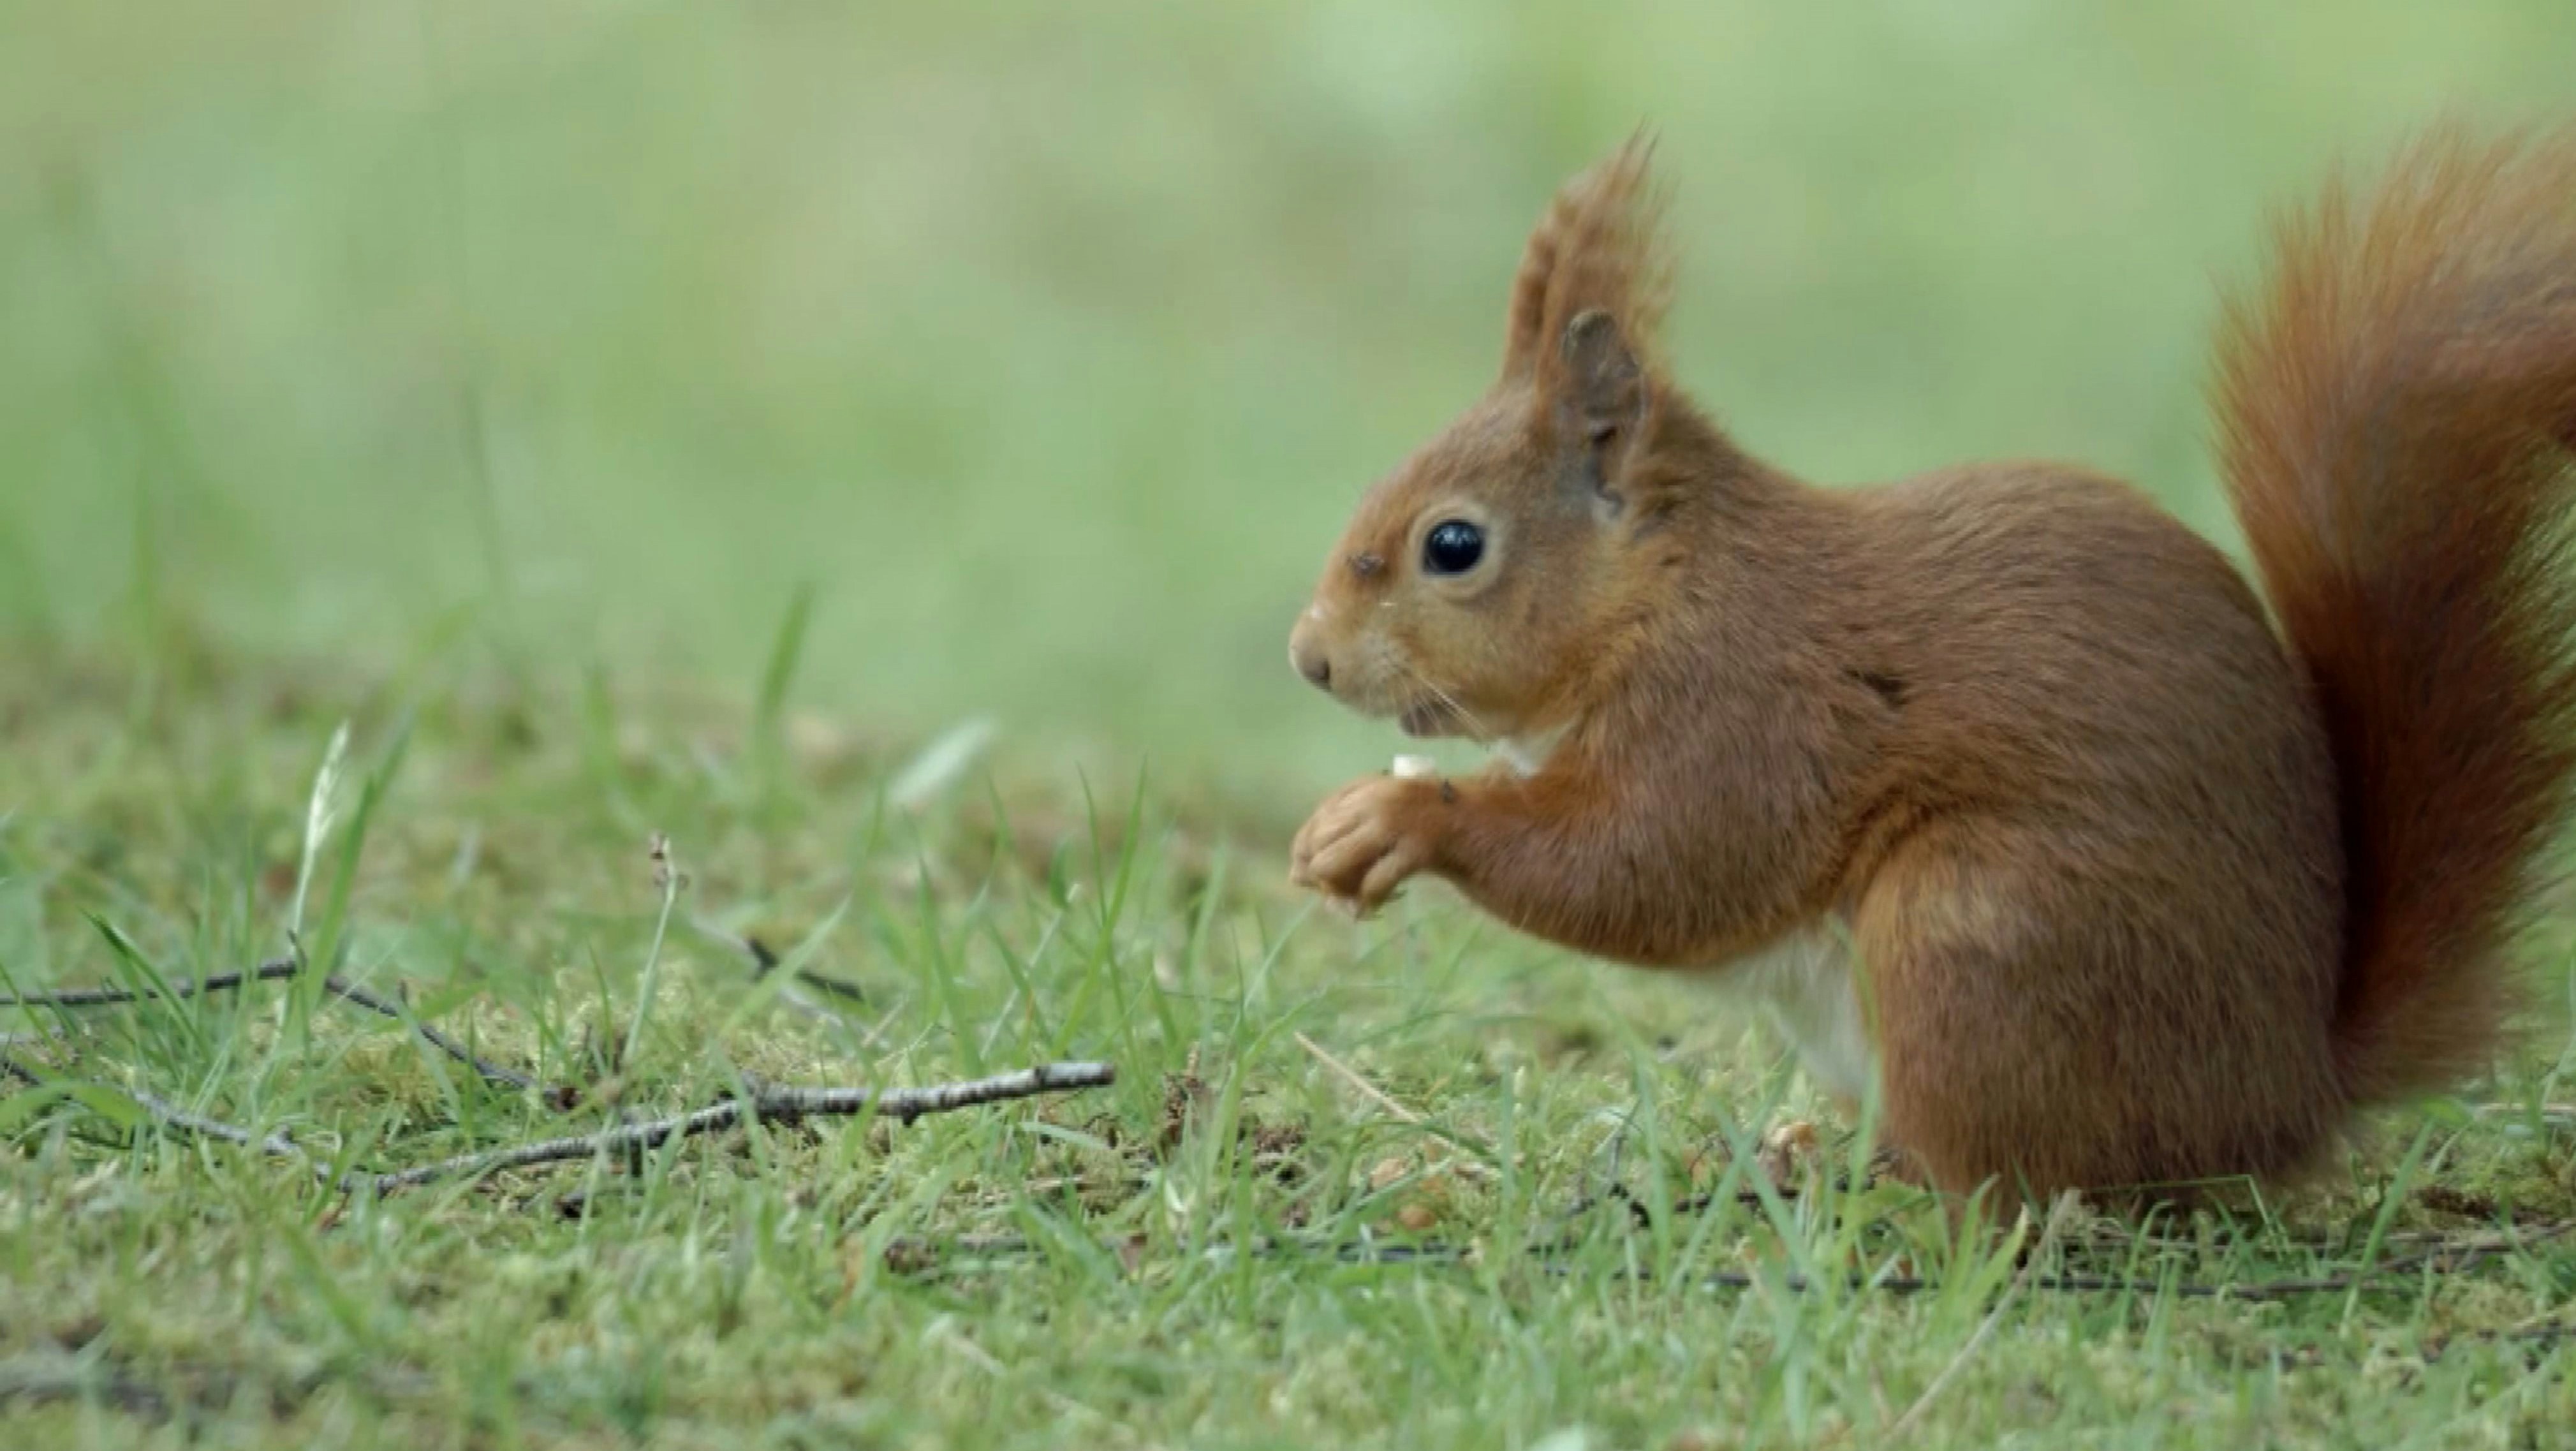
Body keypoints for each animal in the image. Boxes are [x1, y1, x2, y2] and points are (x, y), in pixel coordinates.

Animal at [1285, 127, 2576, 1199]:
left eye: (1452, 546)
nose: (1309, 659)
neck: (1658, 592)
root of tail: (2286, 1094)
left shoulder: (1745, 705)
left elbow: (1652, 858)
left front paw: (1400, 821)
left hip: (1971, 932)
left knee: (2028, 1182)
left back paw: (1902, 1196)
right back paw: (1814, 1149)